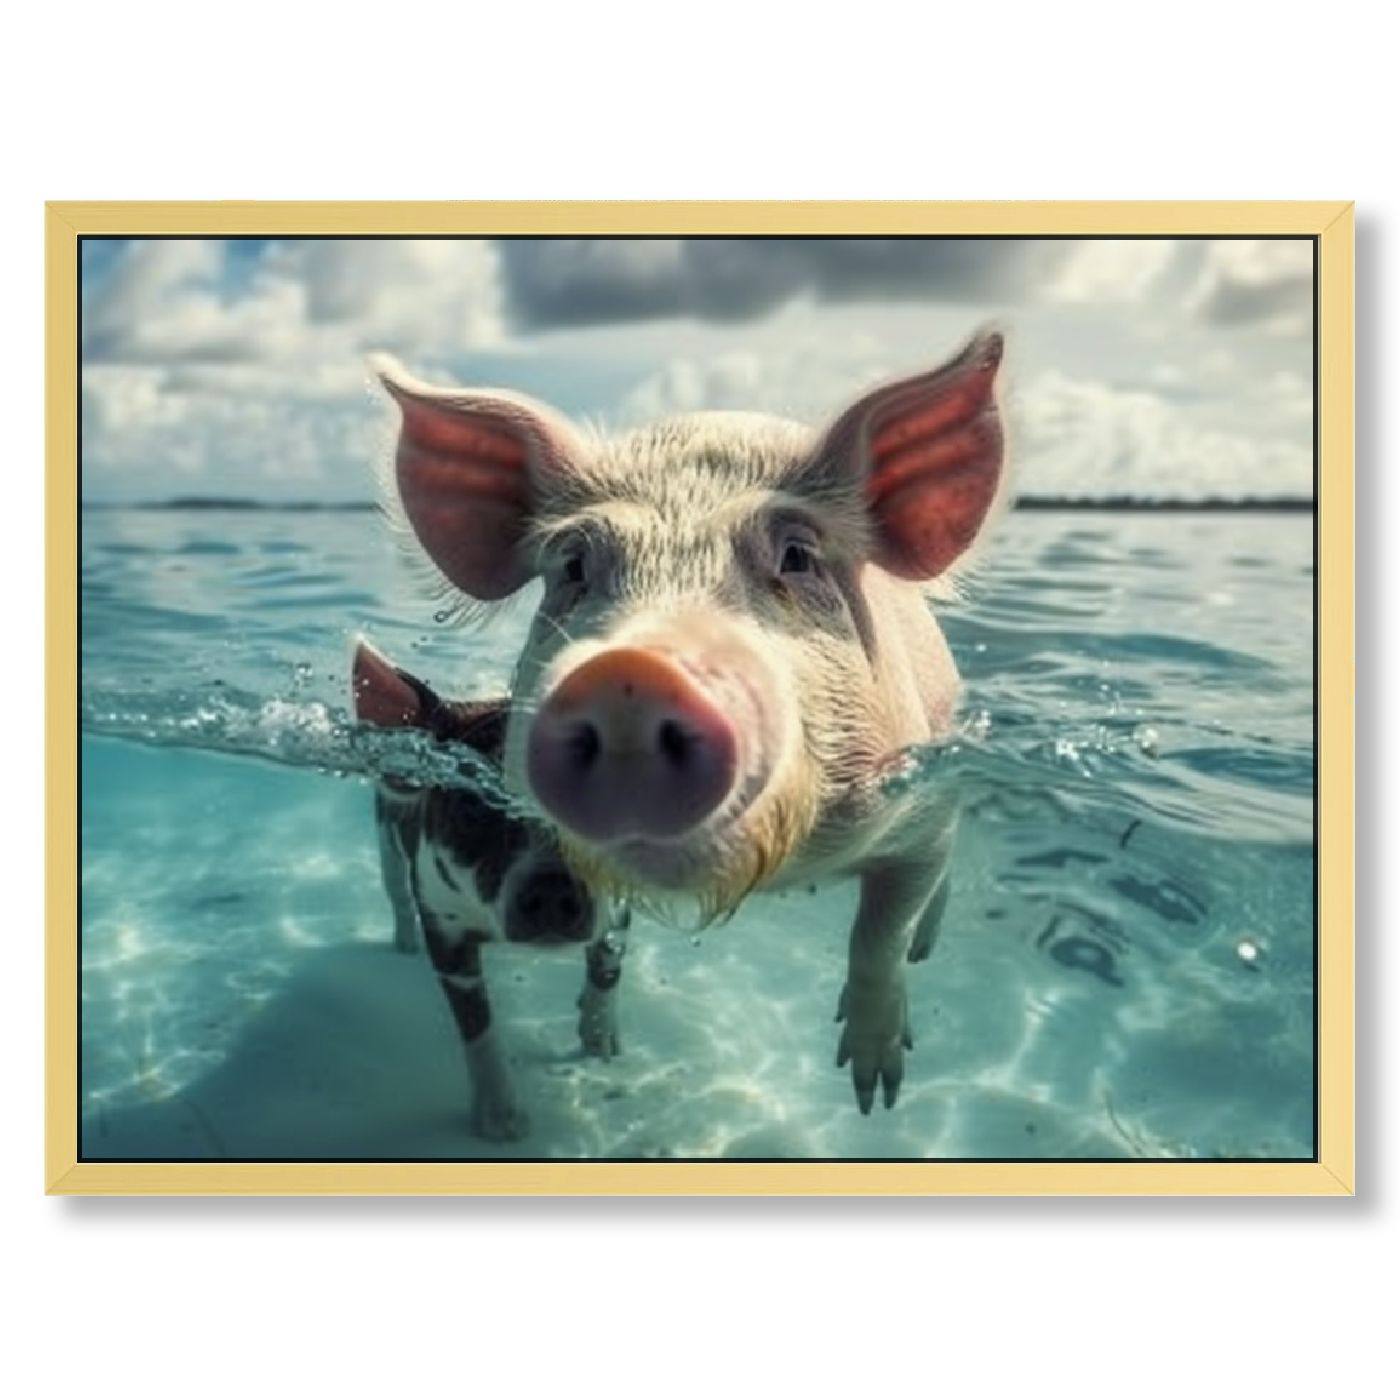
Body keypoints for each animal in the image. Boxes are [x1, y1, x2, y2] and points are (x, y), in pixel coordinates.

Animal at [351, 639, 628, 1141]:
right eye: (472, 807)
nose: (553, 888)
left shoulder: (619, 907)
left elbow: (608, 964)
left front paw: (601, 1045)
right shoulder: (444, 926)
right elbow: (475, 1021)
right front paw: (503, 1124)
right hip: (385, 827)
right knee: (395, 888)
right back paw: (404, 943)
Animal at [369, 328, 1006, 1115]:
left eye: (798, 555)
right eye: (572, 564)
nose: (628, 678)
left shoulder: (922, 802)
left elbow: (883, 932)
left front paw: (873, 1093)